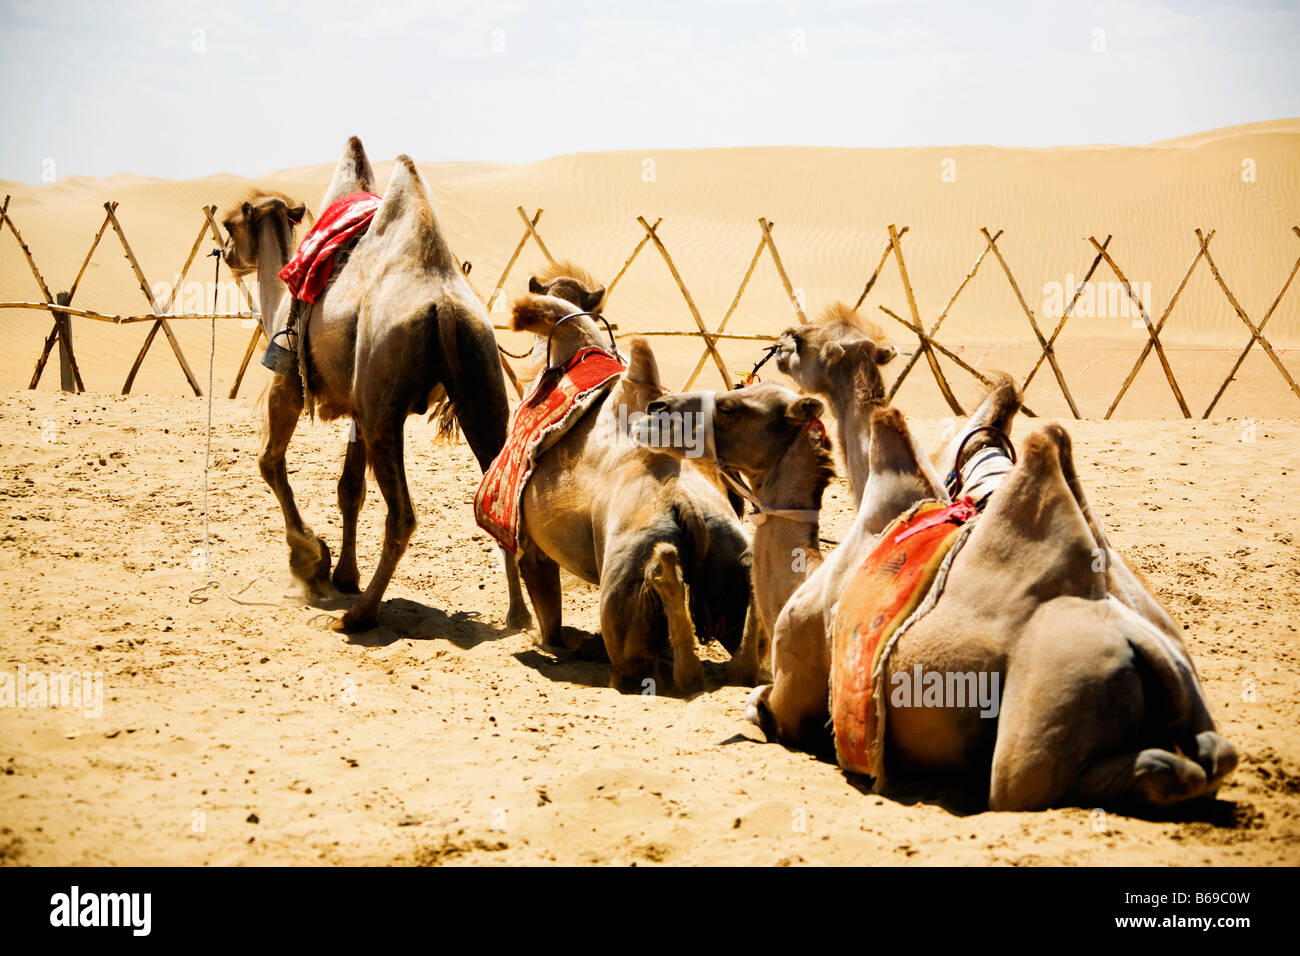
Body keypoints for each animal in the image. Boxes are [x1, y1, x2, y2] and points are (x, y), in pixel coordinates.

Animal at [220, 136, 530, 633]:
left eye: (230, 224)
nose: (226, 253)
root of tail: (443, 306)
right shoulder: (355, 406)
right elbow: (350, 489)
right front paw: (343, 574)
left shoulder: (287, 378)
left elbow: (269, 462)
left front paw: (311, 562)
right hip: (479, 383)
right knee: (495, 490)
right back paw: (518, 614)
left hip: (385, 400)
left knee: (402, 515)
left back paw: (359, 616)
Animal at [506, 284, 752, 693]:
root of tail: (684, 505)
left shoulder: (530, 541)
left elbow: (548, 613)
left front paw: (549, 642)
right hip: (729, 552)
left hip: (624, 584)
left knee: (634, 664)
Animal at [647, 383, 1237, 811]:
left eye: (731, 406)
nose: (656, 407)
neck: (804, 575)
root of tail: (1140, 643)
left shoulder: (795, 692)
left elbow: (759, 707)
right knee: (1215, 754)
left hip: (1048, 712)